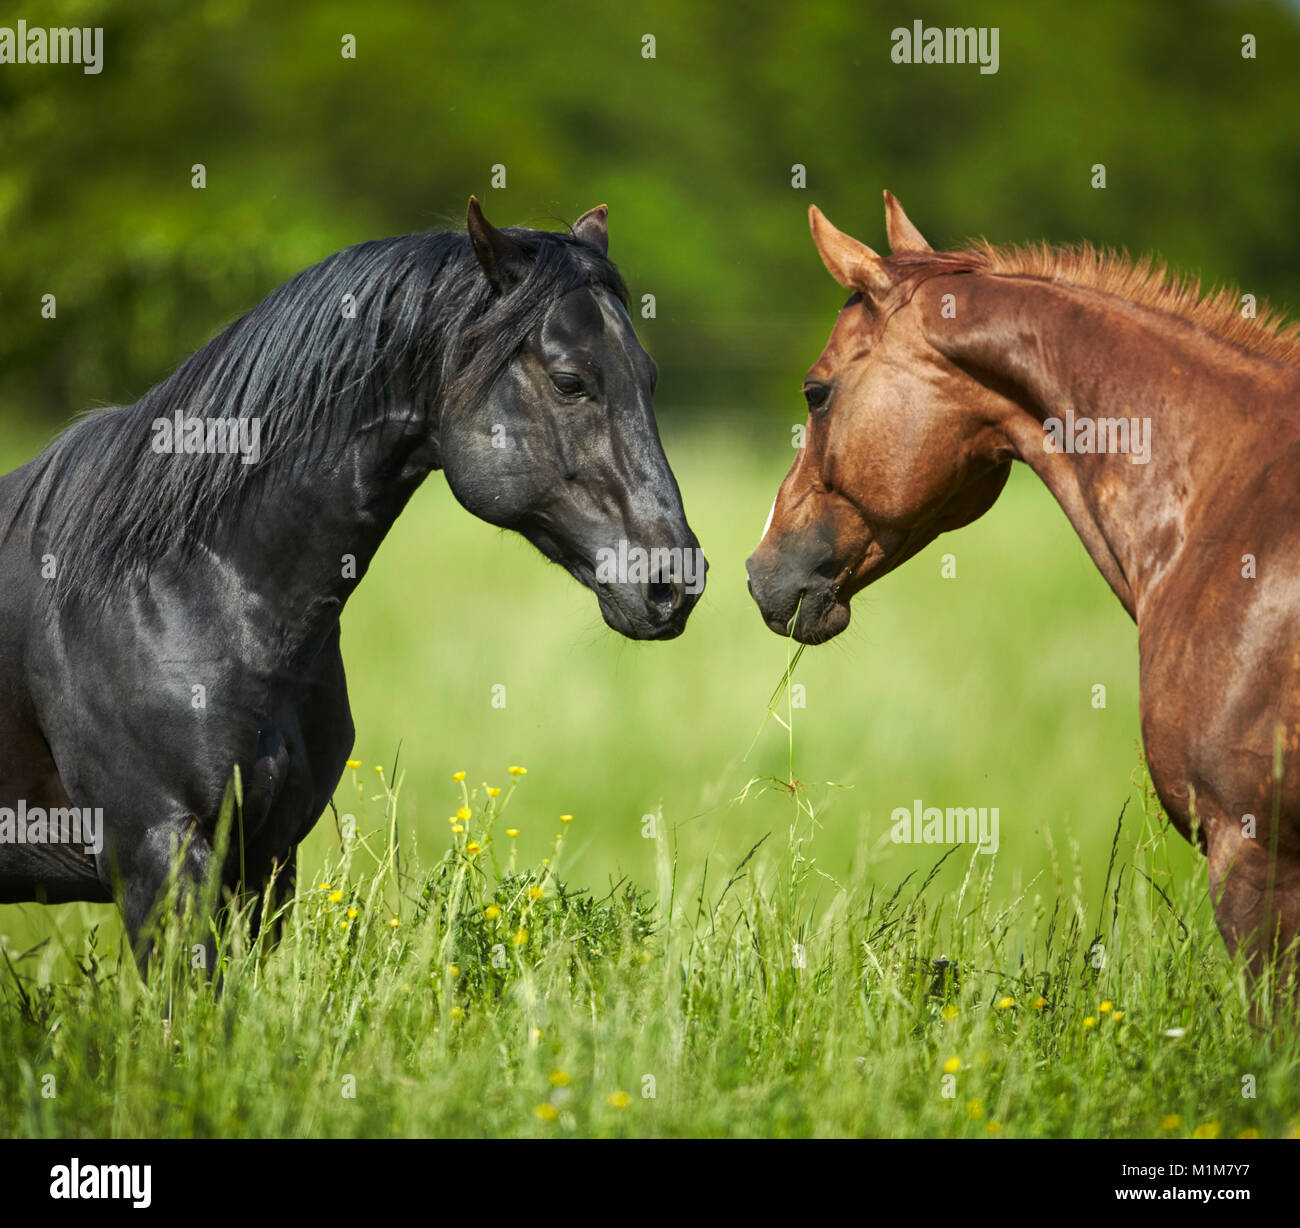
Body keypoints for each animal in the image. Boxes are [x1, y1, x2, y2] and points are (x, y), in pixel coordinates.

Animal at [0, 198, 704, 975]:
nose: (674, 582)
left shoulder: (266, 862)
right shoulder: (157, 855)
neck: (178, 588)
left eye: (649, 377)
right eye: (571, 381)